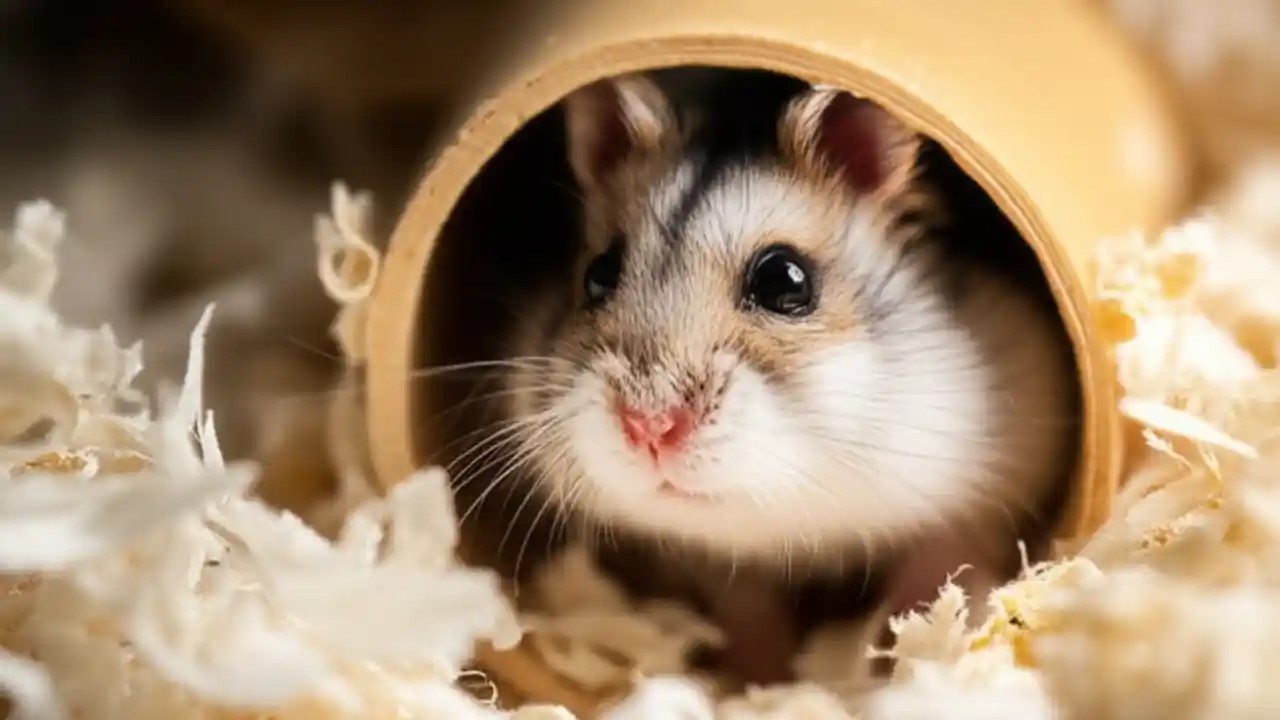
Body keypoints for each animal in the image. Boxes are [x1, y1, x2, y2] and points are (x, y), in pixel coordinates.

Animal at [464, 69, 1080, 686]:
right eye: (598, 274)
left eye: (785, 280)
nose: (647, 428)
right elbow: (745, 602)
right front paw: (756, 677)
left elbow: (942, 556)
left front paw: (910, 646)